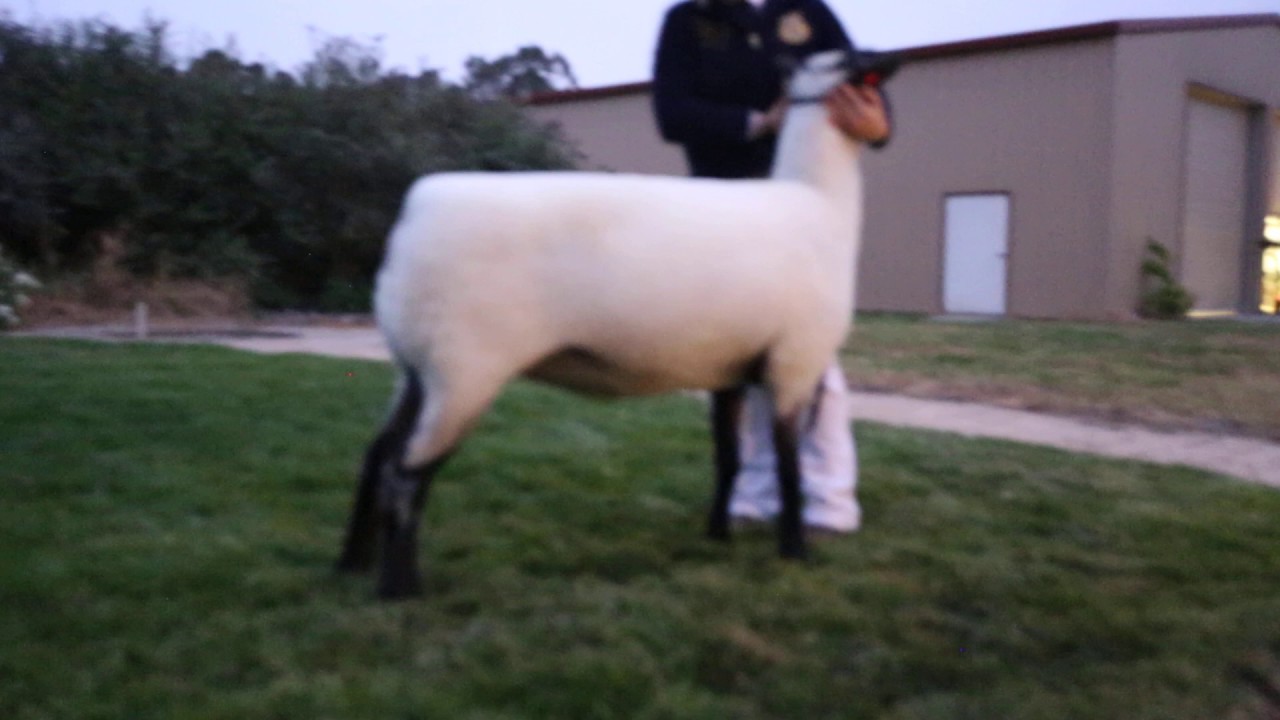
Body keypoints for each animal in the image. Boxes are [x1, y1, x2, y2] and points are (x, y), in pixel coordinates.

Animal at [336, 48, 900, 599]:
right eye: (856, 63)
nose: (891, 66)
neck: (820, 203)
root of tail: (418, 208)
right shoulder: (795, 361)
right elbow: (788, 465)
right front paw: (794, 552)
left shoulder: (730, 368)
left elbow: (729, 457)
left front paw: (718, 534)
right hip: (464, 367)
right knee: (407, 472)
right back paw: (399, 586)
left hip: (416, 365)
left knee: (376, 454)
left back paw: (352, 563)